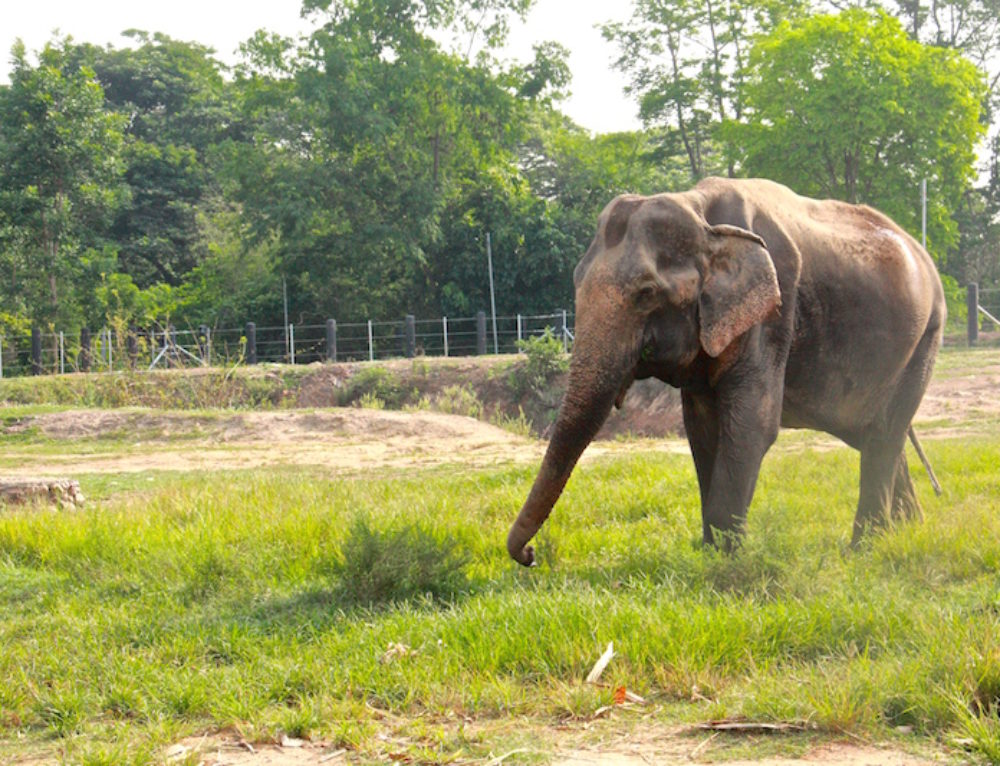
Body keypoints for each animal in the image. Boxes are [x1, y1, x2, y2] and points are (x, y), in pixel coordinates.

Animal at [507, 177, 945, 567]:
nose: (530, 555)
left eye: (646, 292)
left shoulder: (772, 314)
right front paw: (711, 552)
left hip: (927, 337)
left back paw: (863, 549)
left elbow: (751, 425)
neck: (701, 212)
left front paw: (728, 562)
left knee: (884, 434)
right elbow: (703, 427)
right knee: (871, 434)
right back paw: (907, 531)